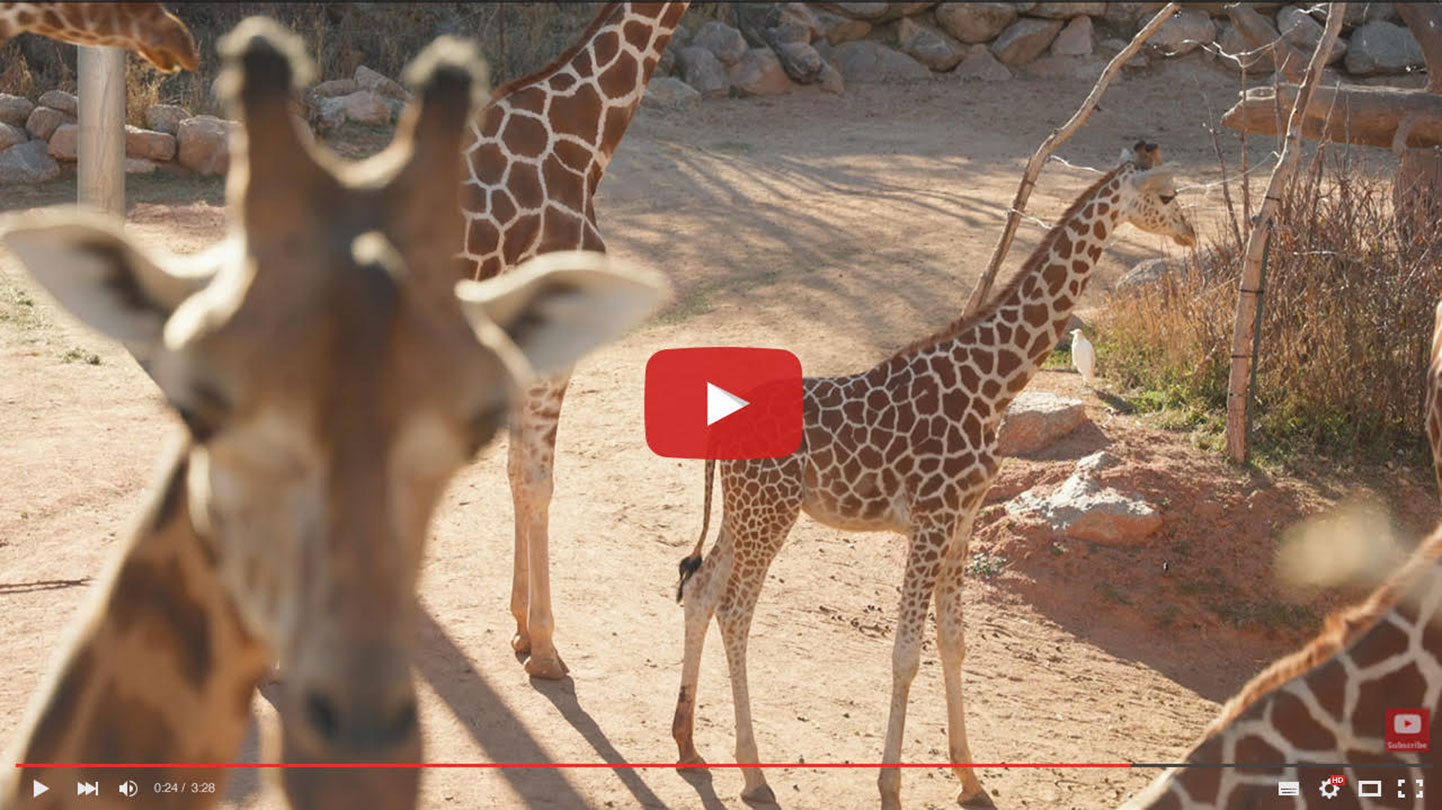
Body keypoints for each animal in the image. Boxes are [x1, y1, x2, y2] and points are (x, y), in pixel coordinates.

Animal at [671, 142, 1198, 809]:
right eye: (1166, 195)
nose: (1191, 233)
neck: (991, 385)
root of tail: (720, 428)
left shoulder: (963, 521)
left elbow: (954, 642)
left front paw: (971, 781)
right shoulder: (931, 520)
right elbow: (905, 654)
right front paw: (890, 787)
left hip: (744, 511)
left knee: (701, 590)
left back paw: (687, 743)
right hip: (772, 513)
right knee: (735, 611)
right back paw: (754, 774)